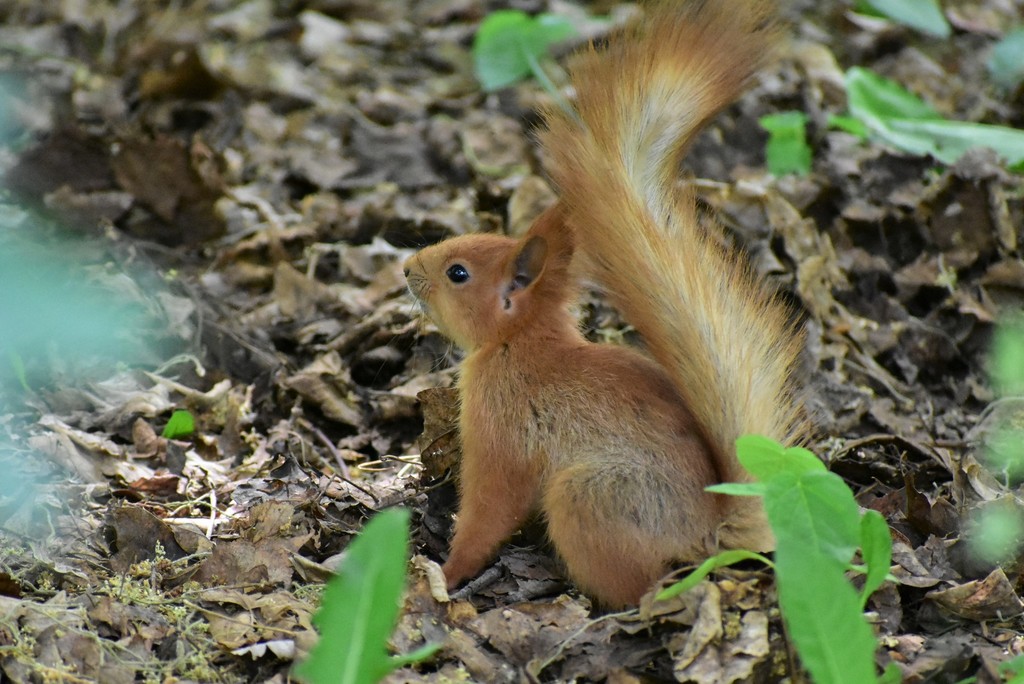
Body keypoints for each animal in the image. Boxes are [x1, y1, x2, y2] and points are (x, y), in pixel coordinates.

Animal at [403, 0, 807, 608]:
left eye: (458, 273)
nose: (407, 269)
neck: (519, 344)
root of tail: (708, 535)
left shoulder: (503, 427)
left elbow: (490, 510)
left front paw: (446, 573)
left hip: (587, 496)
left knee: (639, 588)